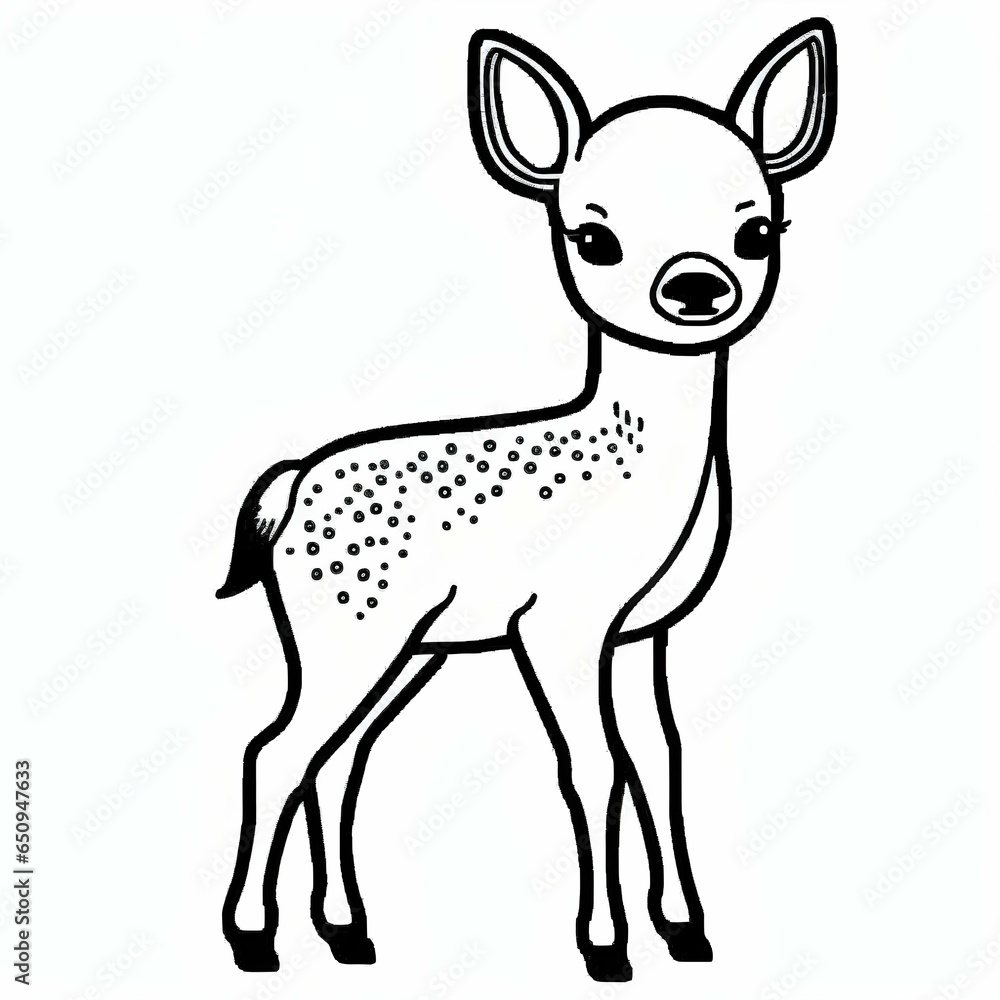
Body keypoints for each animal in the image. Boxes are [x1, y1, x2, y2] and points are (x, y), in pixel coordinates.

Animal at [216, 20, 837, 983]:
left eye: (758, 228)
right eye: (592, 237)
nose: (695, 287)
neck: (641, 469)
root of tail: (288, 489)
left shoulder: (641, 630)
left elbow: (659, 758)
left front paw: (686, 931)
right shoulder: (561, 620)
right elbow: (593, 765)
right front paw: (606, 947)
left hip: (408, 642)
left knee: (340, 754)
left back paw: (349, 933)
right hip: (347, 622)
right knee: (276, 750)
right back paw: (254, 939)